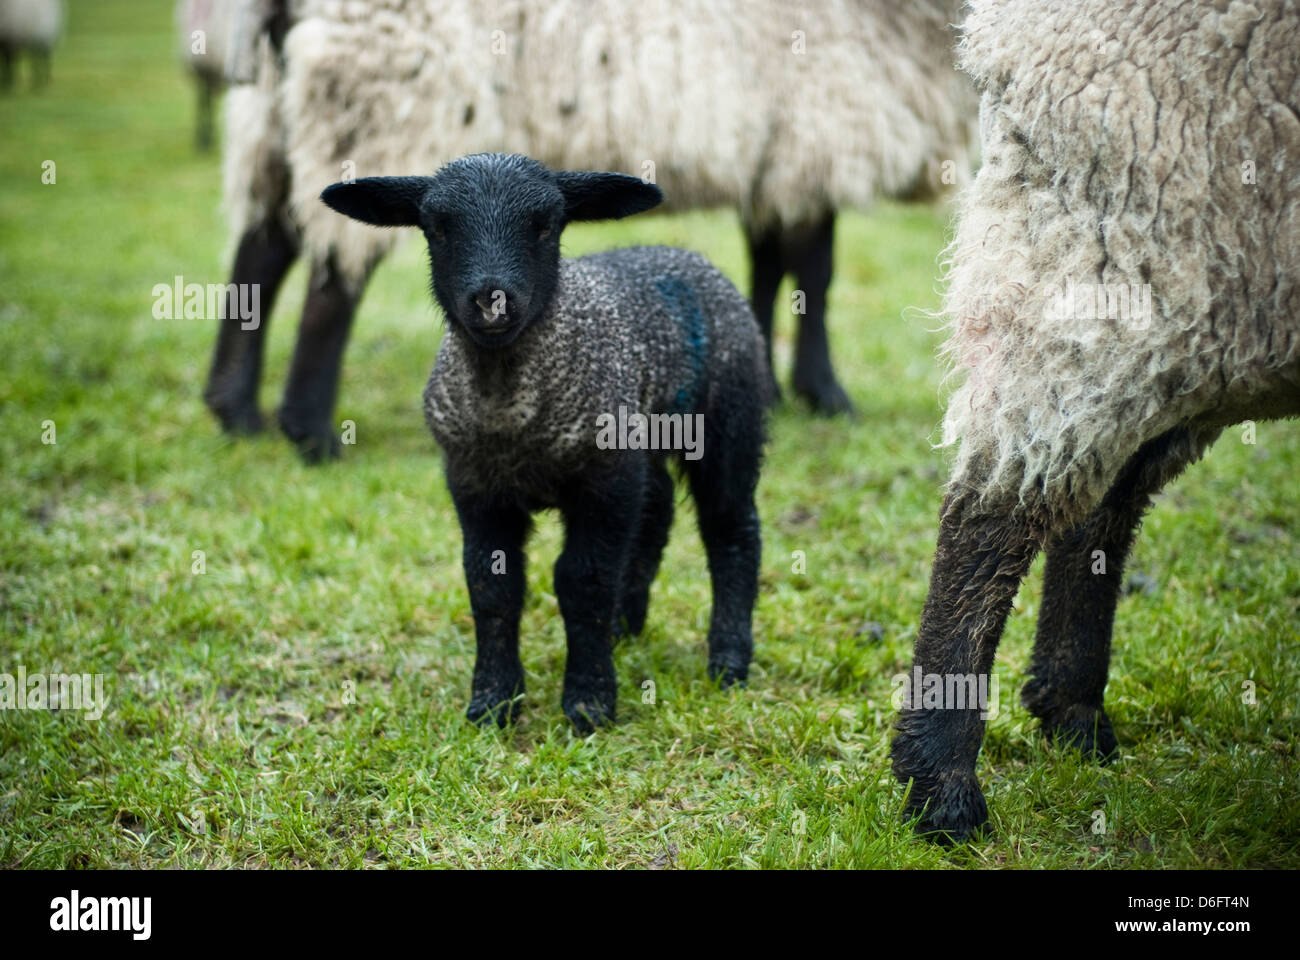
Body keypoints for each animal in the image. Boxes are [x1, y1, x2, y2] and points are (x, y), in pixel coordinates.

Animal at [204, 0, 976, 461]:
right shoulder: (817, 126)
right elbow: (813, 270)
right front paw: (825, 395)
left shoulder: (773, 151)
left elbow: (768, 267)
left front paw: (765, 387)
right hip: (379, 98)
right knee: (333, 277)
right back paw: (310, 432)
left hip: (278, 110)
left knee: (262, 251)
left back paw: (234, 409)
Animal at [320, 153, 769, 729]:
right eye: (437, 226)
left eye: (546, 225)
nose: (492, 302)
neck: (510, 409)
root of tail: (683, 254)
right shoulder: (473, 484)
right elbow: (492, 586)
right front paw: (493, 701)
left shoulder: (603, 481)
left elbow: (583, 581)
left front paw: (589, 702)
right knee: (657, 510)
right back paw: (625, 627)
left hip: (728, 418)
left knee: (731, 528)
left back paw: (729, 660)